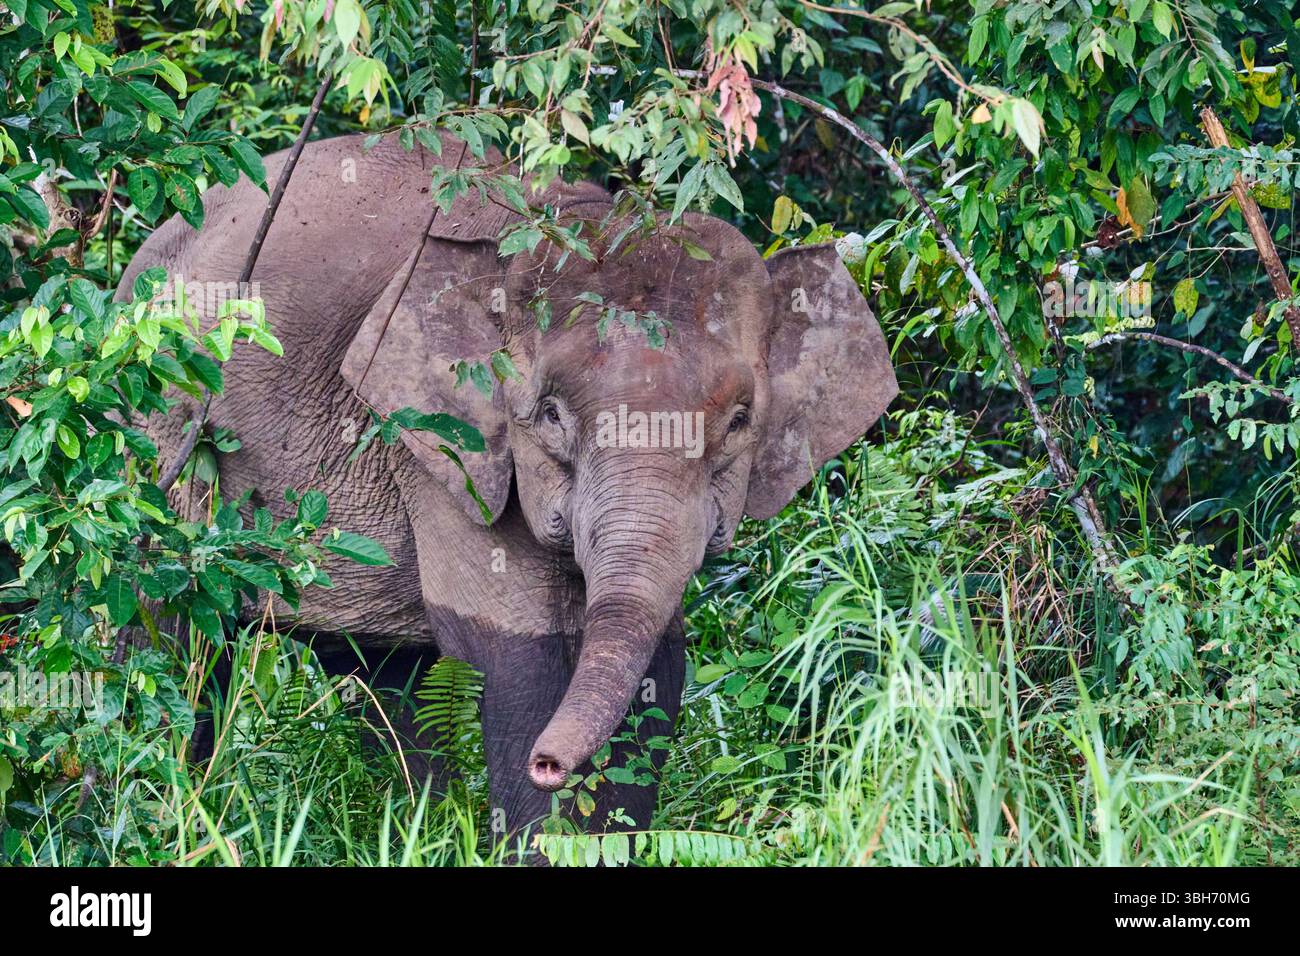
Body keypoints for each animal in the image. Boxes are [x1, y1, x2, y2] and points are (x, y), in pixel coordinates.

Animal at [117, 130, 897, 838]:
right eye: (549, 413)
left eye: (738, 422)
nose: (548, 765)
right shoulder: (437, 444)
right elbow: (518, 653)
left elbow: (657, 662)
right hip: (151, 434)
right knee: (169, 636)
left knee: (387, 673)